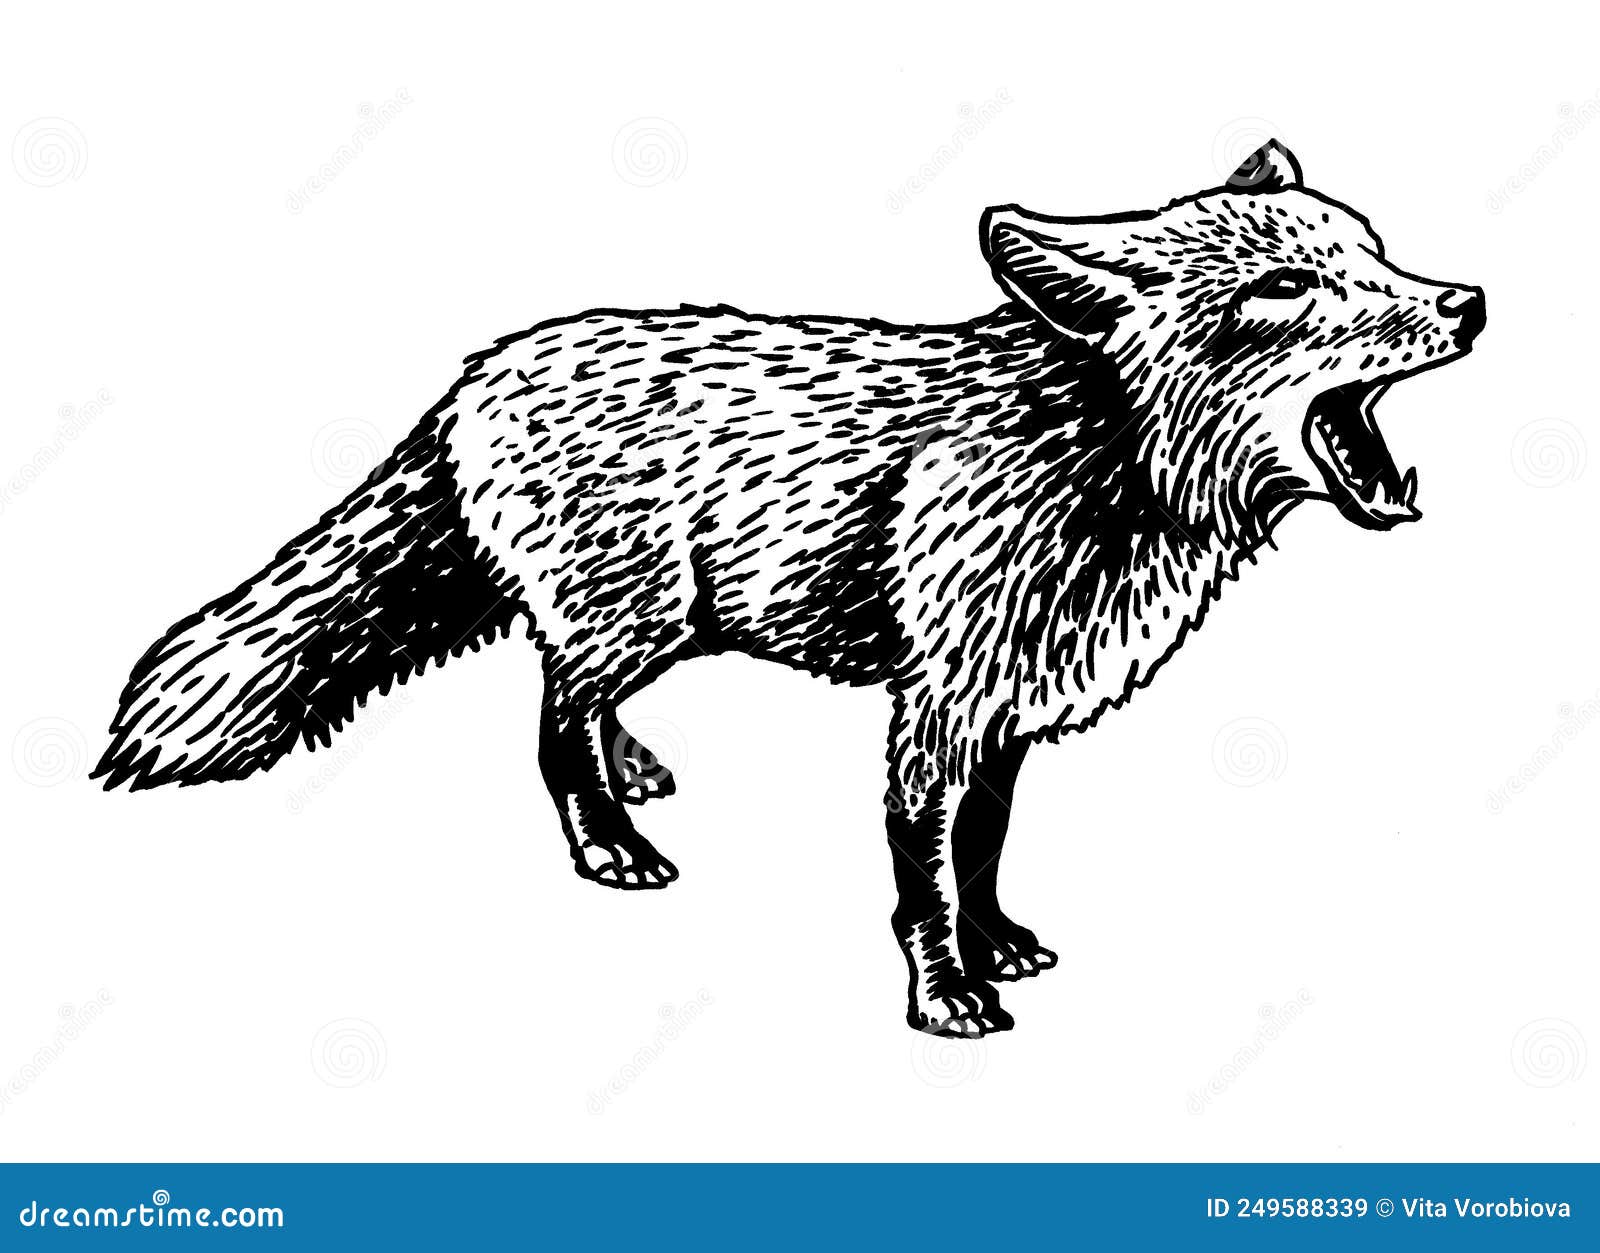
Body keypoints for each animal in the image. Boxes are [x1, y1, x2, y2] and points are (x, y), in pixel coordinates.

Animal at [96, 141, 1484, 1037]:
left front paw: (999, 944)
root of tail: (475, 370)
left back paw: (634, 773)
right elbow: (923, 879)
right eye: (1287, 290)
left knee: (569, 696)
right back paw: (608, 840)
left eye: (1377, 254)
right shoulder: (935, 707)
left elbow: (982, 852)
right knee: (550, 721)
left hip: (641, 622)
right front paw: (947, 995)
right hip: (637, 615)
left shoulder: (1003, 710)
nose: (1468, 300)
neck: (1098, 460)